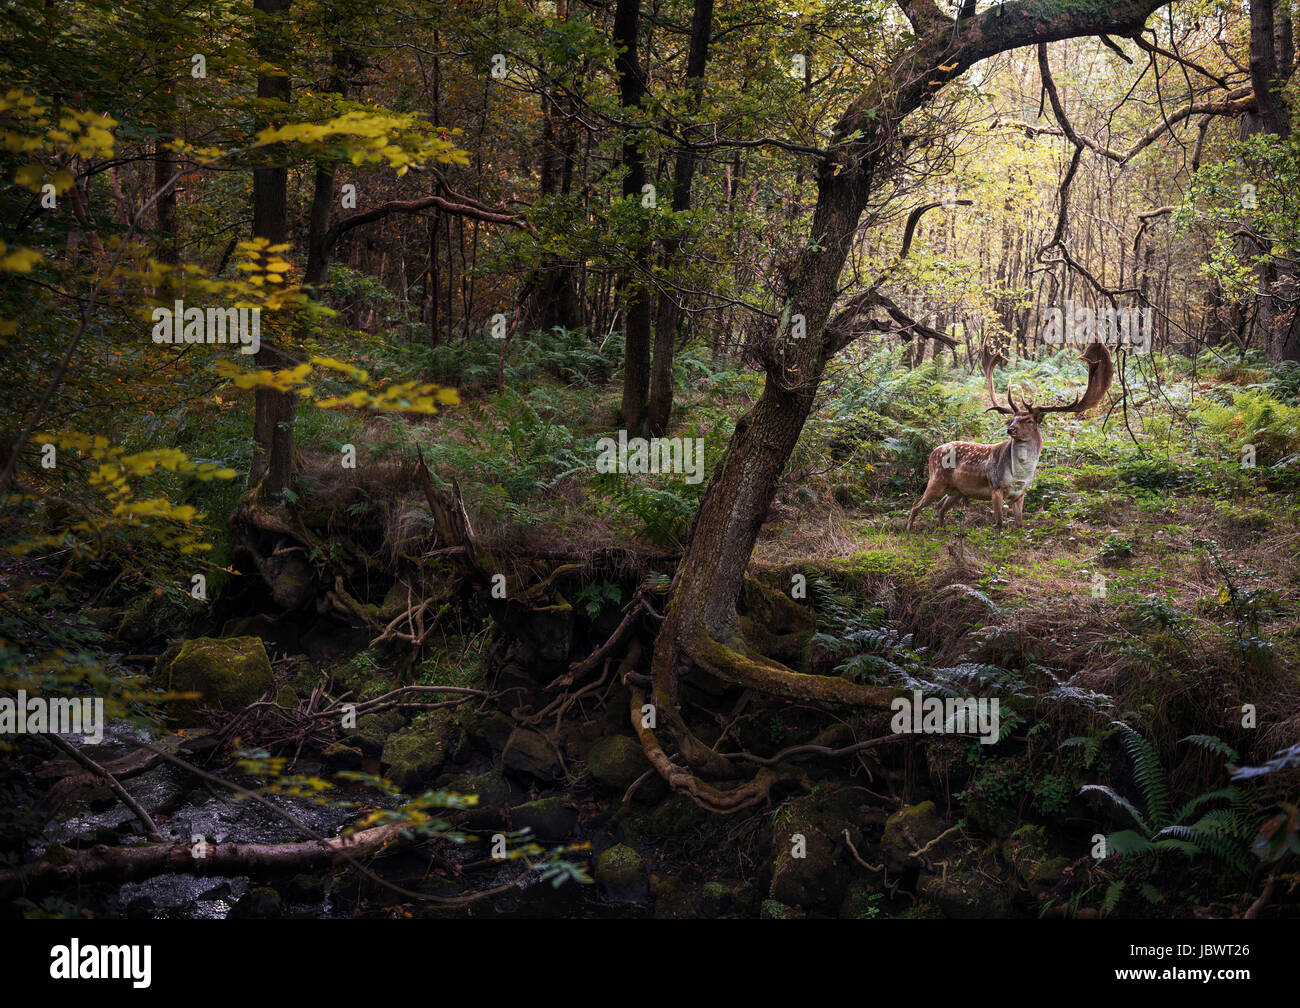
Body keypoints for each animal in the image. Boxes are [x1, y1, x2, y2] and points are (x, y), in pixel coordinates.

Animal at [906, 341, 1114, 532]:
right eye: (1012, 419)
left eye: (1029, 420)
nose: (1011, 429)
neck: (1020, 475)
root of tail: (933, 452)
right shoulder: (996, 488)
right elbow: (999, 524)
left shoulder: (1021, 494)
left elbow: (1019, 524)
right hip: (936, 480)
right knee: (916, 505)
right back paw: (909, 530)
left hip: (956, 491)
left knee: (940, 508)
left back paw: (941, 530)